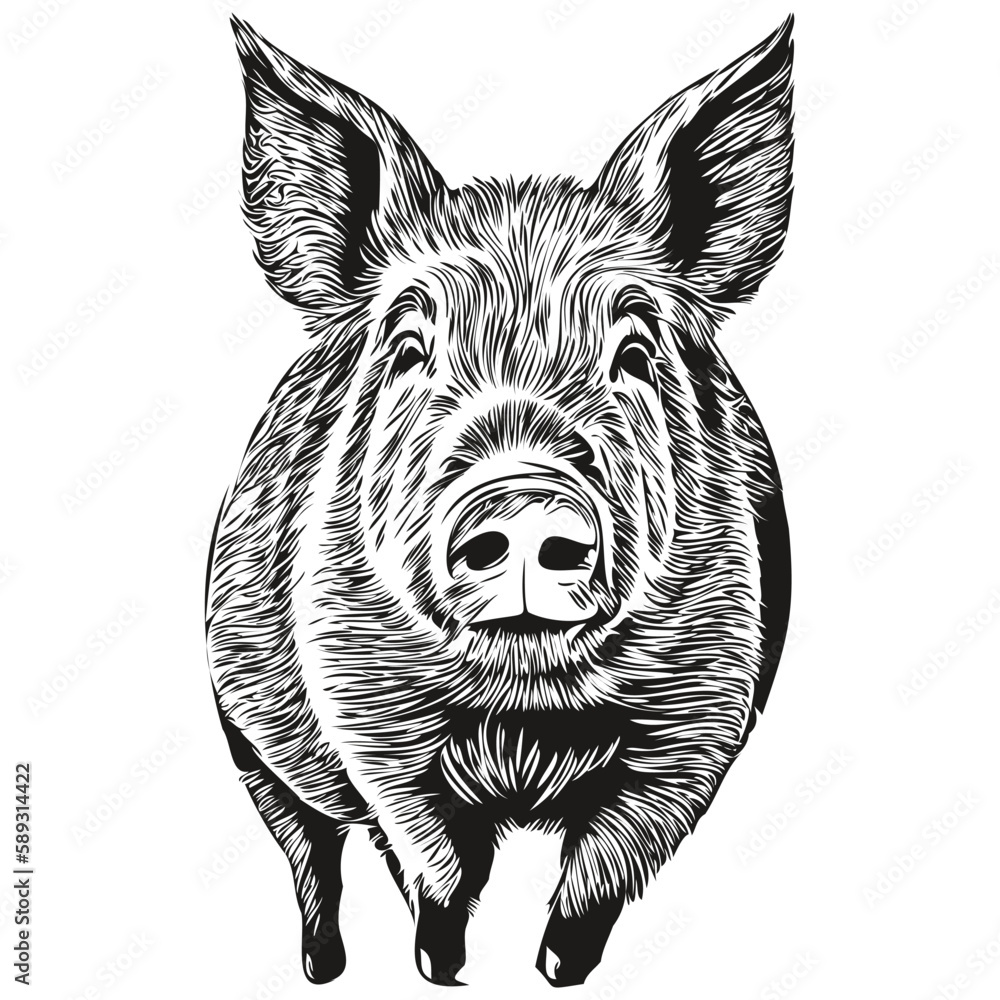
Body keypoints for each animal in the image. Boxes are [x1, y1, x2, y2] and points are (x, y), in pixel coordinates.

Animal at [206, 15, 793, 988]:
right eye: (410, 348)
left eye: (635, 352)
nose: (523, 497)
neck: (524, 718)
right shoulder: (362, 707)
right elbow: (435, 862)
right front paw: (443, 970)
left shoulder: (703, 712)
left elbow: (601, 877)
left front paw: (556, 973)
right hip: (247, 737)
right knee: (311, 850)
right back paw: (324, 969)